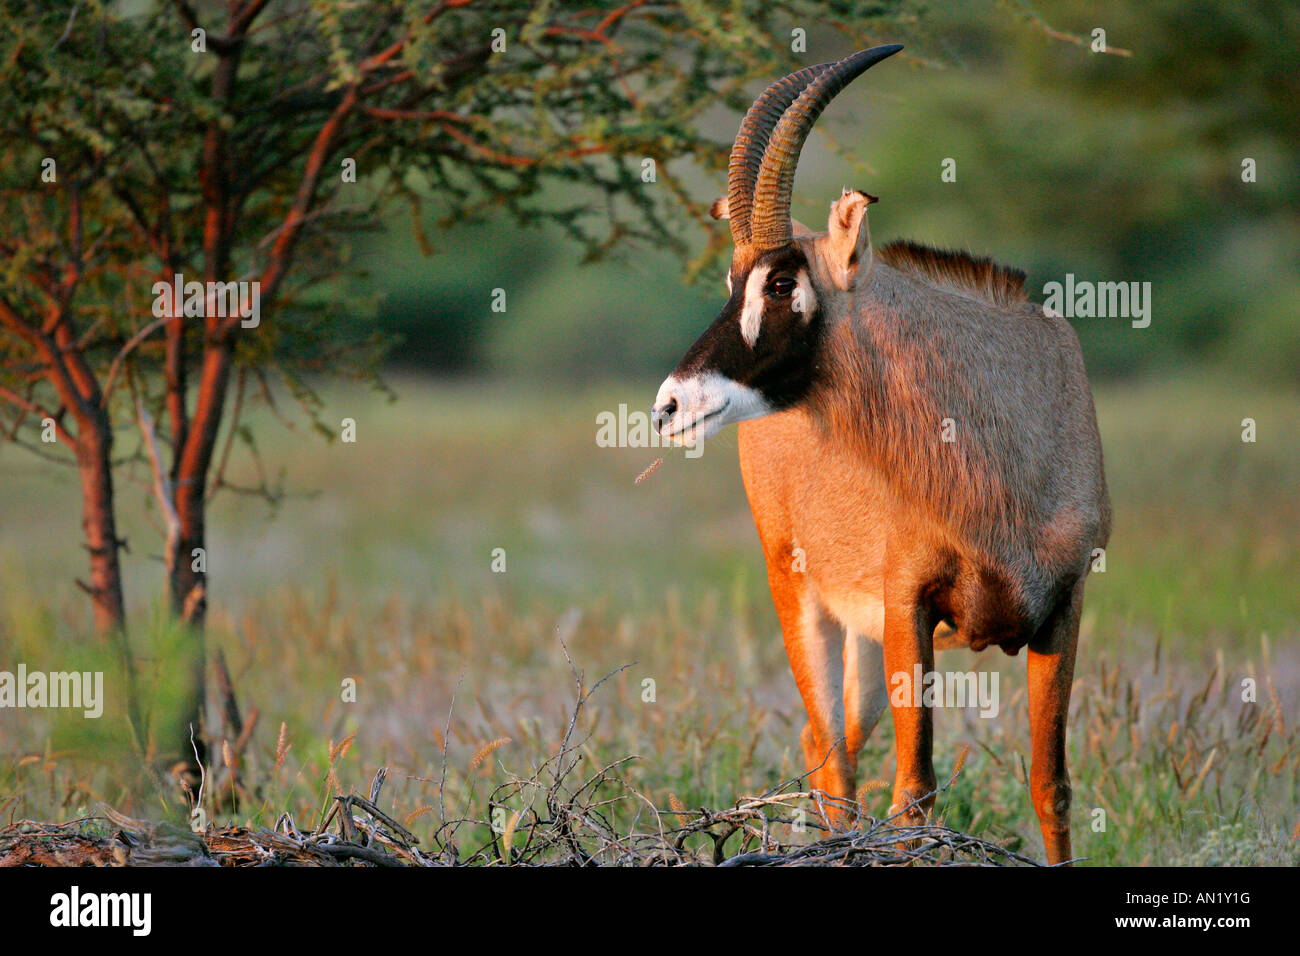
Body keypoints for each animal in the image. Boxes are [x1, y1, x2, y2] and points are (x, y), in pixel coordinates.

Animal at [650, 45, 1110, 864]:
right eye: (733, 279)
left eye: (779, 281)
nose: (669, 405)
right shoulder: (909, 608)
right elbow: (915, 792)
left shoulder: (1064, 608)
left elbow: (1051, 785)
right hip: (803, 597)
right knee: (832, 755)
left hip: (863, 634)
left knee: (833, 746)